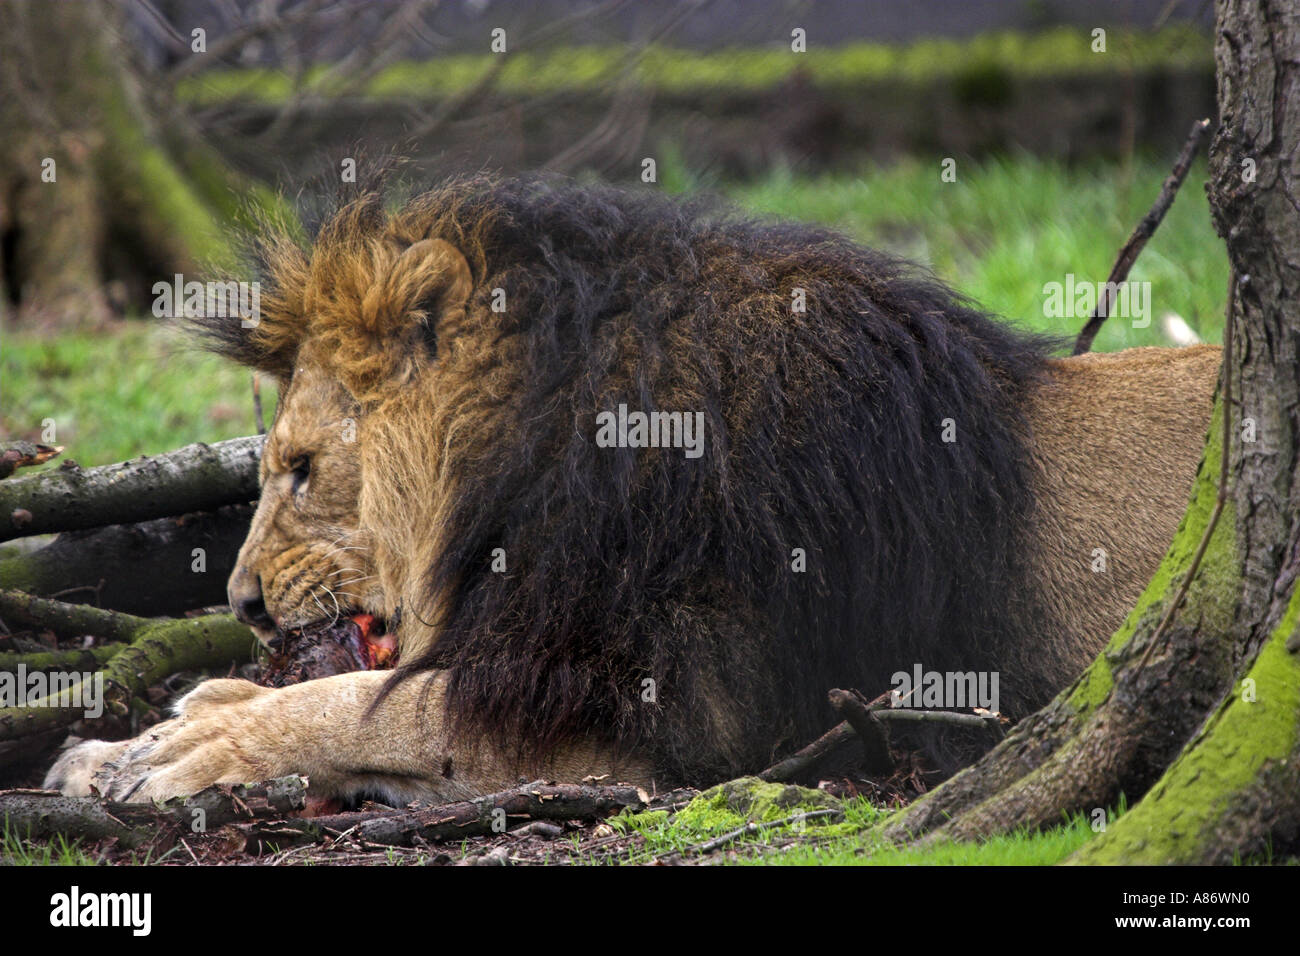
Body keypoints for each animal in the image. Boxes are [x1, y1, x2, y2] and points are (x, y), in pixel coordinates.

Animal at [45, 176, 1221, 803]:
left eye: (299, 468)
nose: (239, 604)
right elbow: (360, 692)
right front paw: (165, 721)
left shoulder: (658, 718)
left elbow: (371, 709)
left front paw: (181, 746)